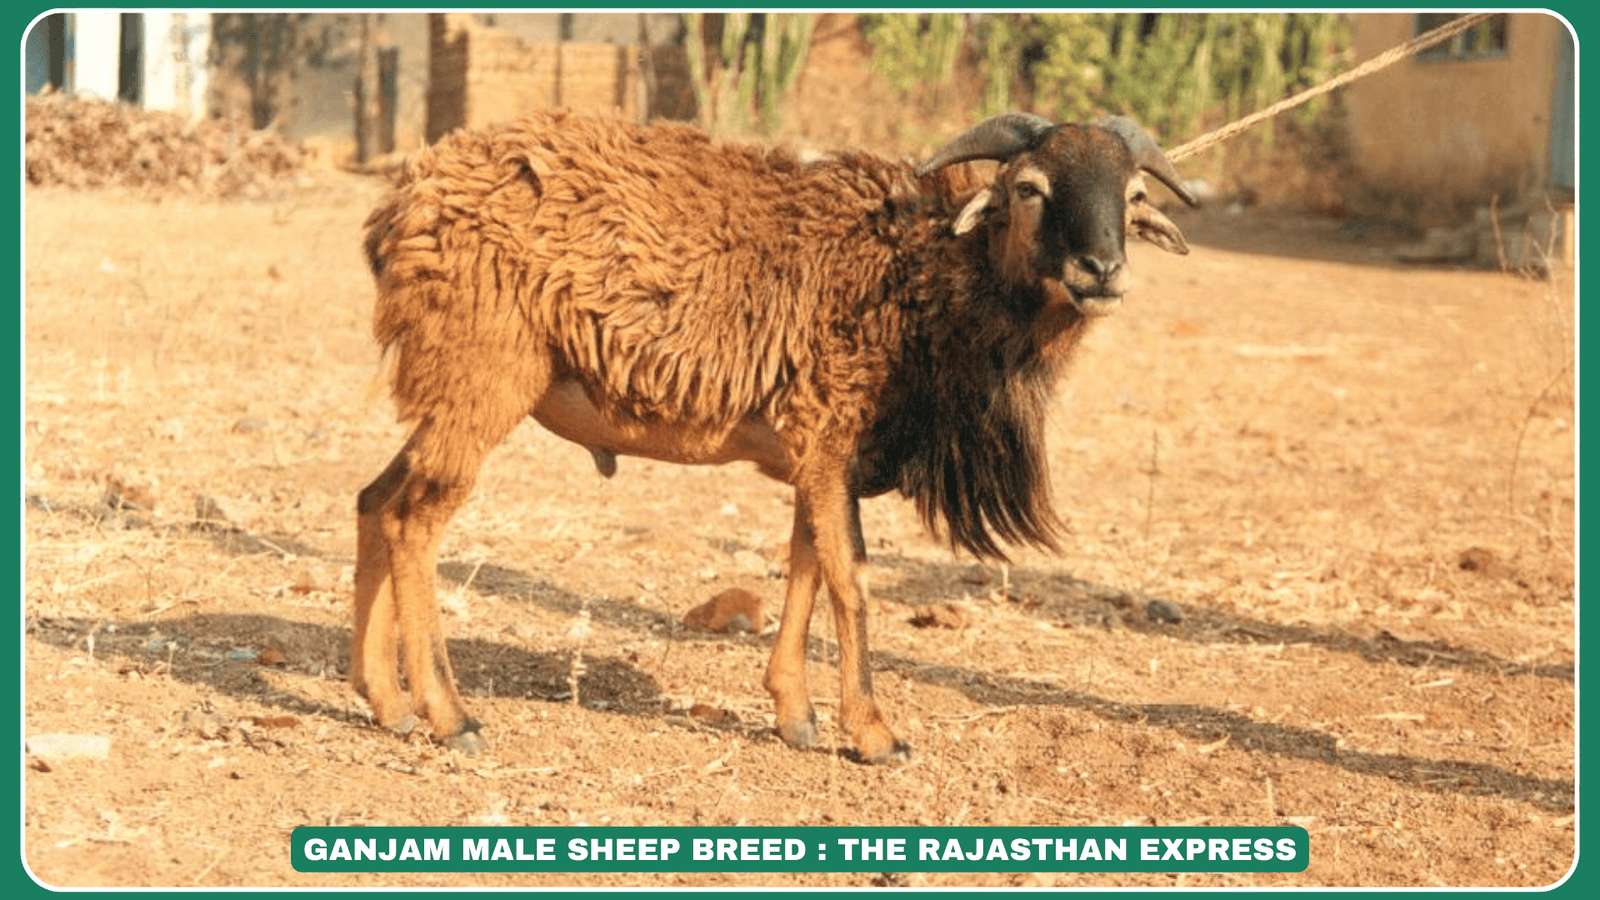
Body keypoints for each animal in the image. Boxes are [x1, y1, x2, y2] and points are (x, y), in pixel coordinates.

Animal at [353, 109, 1195, 764]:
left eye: (1134, 195)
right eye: (1029, 189)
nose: (1101, 269)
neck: (919, 274)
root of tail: (402, 209)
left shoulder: (818, 457)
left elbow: (805, 567)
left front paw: (796, 716)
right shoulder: (829, 437)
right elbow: (850, 579)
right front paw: (875, 734)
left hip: (448, 395)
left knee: (375, 502)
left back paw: (386, 702)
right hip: (480, 382)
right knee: (414, 521)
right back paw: (451, 717)